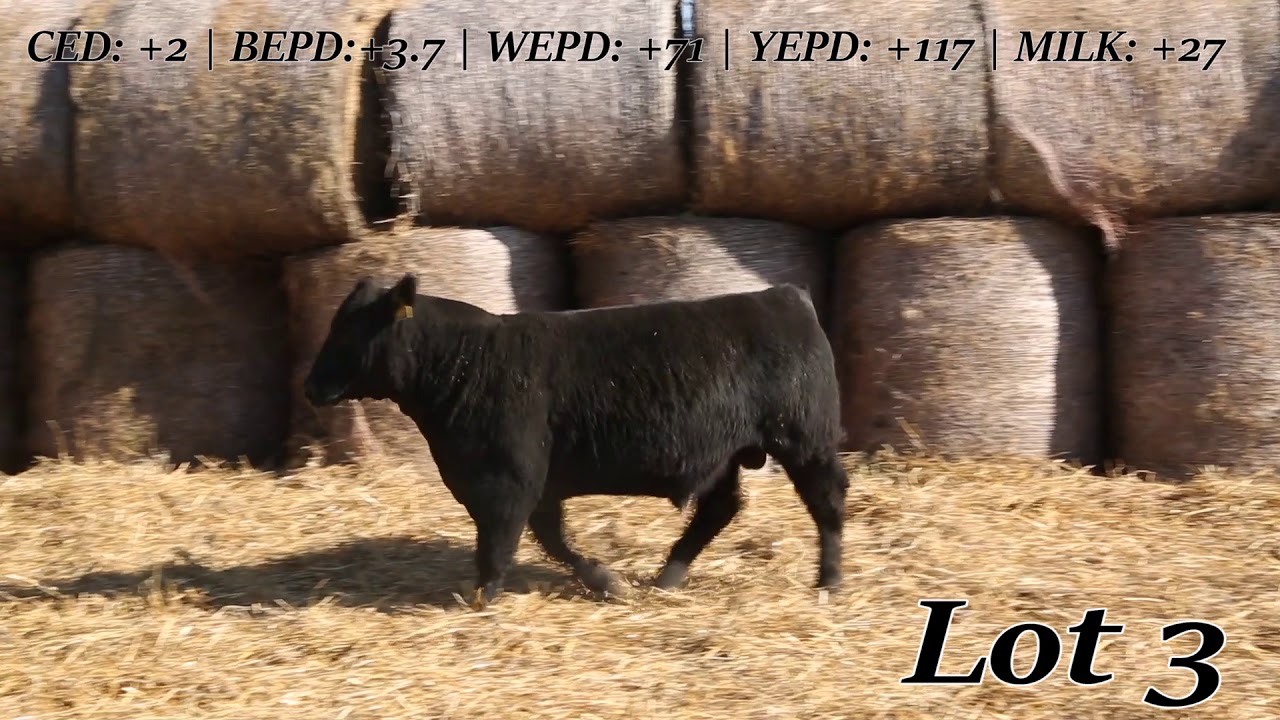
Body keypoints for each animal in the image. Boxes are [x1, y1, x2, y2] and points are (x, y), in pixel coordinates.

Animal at [302, 273, 849, 605]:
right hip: (729, 455)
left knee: (828, 501)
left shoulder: (508, 482)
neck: (466, 359)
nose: (310, 386)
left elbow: (500, 544)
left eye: (351, 331)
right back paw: (668, 575)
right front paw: (606, 581)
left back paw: (828, 581)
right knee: (720, 508)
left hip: (805, 441)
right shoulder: (534, 486)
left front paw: (482, 599)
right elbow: (552, 538)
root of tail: (783, 294)